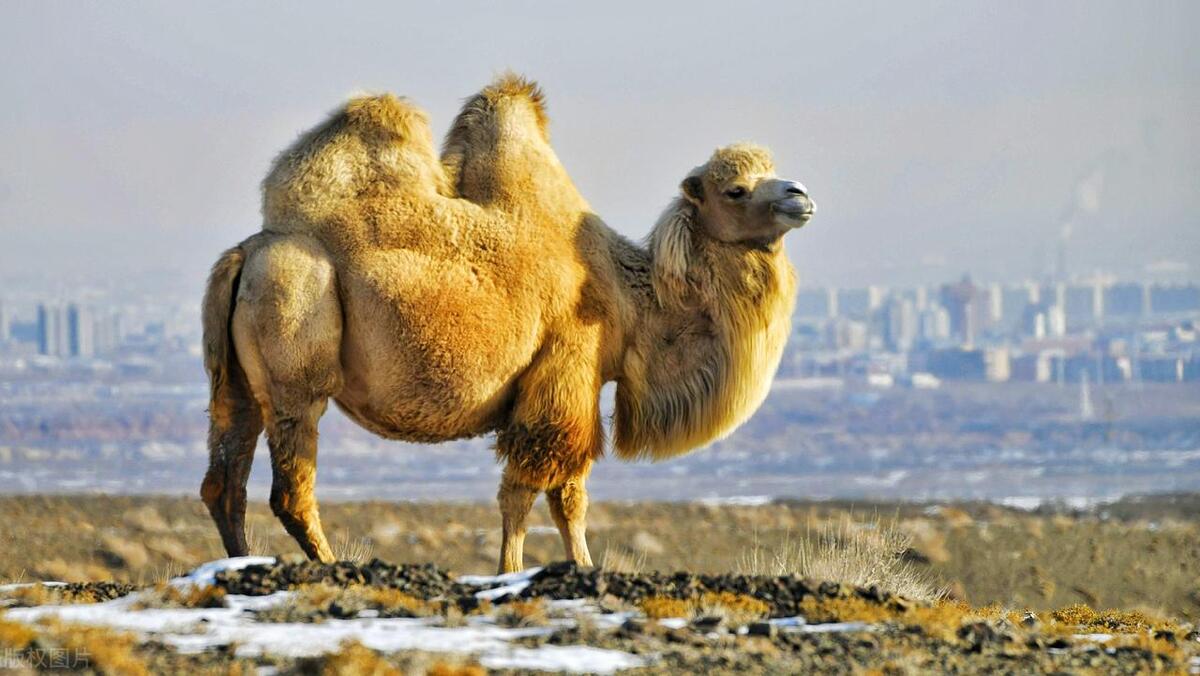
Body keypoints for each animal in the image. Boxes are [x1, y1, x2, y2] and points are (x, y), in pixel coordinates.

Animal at [200, 75, 816, 573]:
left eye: (771, 171)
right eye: (735, 190)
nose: (800, 194)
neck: (630, 298)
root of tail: (248, 251)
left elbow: (555, 495)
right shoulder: (566, 376)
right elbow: (542, 492)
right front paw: (523, 570)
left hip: (236, 380)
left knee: (224, 480)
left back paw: (241, 562)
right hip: (295, 337)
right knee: (289, 488)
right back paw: (331, 565)